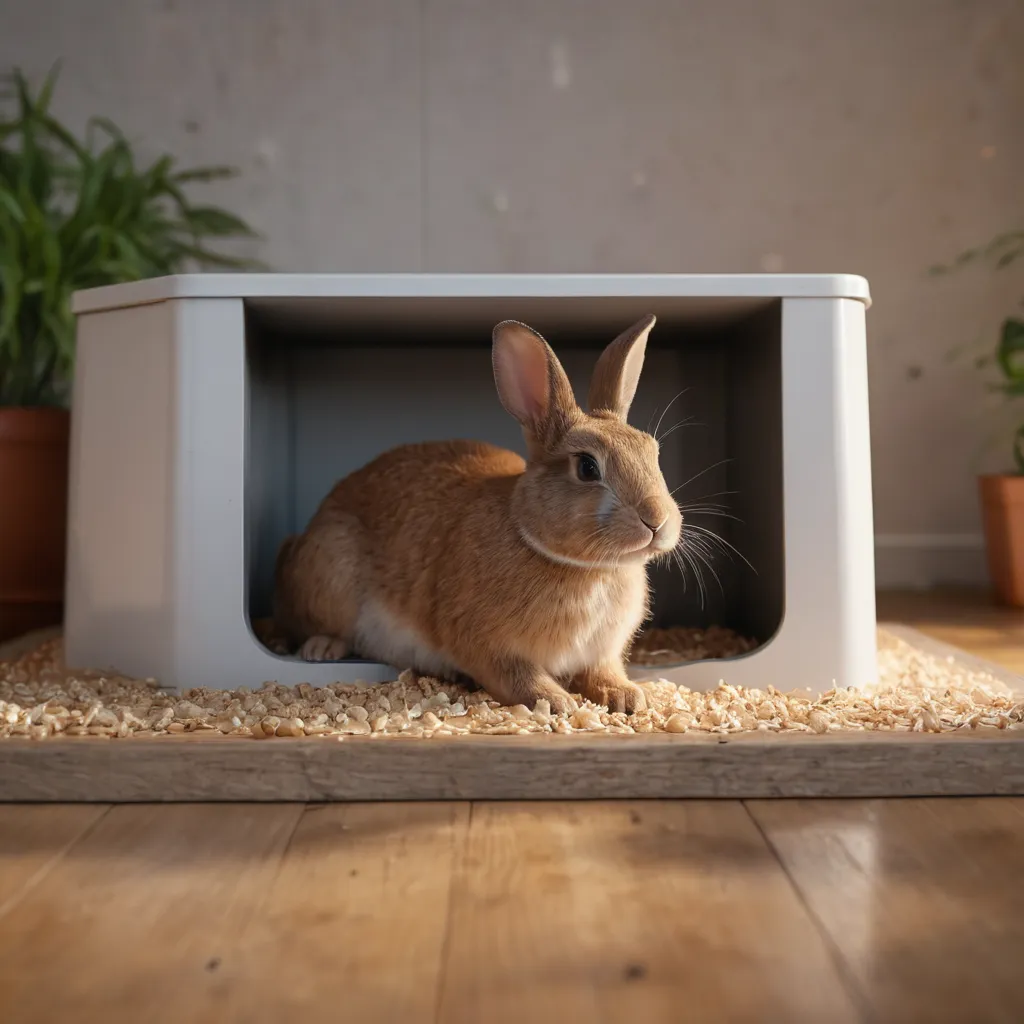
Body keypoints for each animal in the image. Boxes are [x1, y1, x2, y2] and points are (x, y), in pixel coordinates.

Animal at [272, 314, 682, 715]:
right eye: (586, 467)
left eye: (653, 452)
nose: (657, 521)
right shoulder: (485, 644)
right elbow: (518, 677)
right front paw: (556, 702)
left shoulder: (601, 652)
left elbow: (602, 672)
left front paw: (627, 697)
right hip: (331, 568)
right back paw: (321, 648)